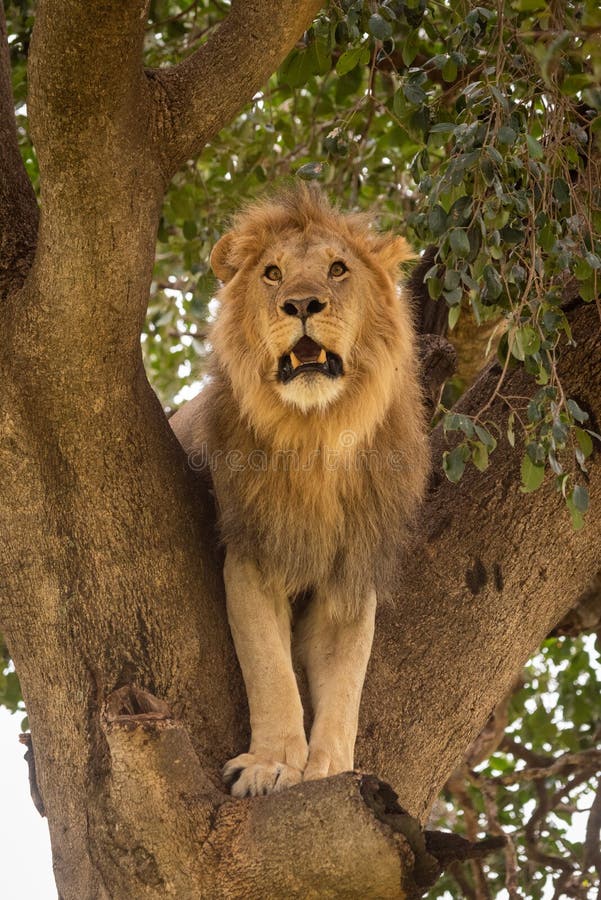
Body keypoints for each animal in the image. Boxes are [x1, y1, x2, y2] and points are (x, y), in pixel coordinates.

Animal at [170, 184, 429, 797]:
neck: (317, 437)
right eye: (272, 273)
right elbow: (269, 670)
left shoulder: (351, 576)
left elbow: (346, 687)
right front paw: (272, 765)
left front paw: (330, 771)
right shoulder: (254, 553)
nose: (303, 305)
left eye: (337, 269)